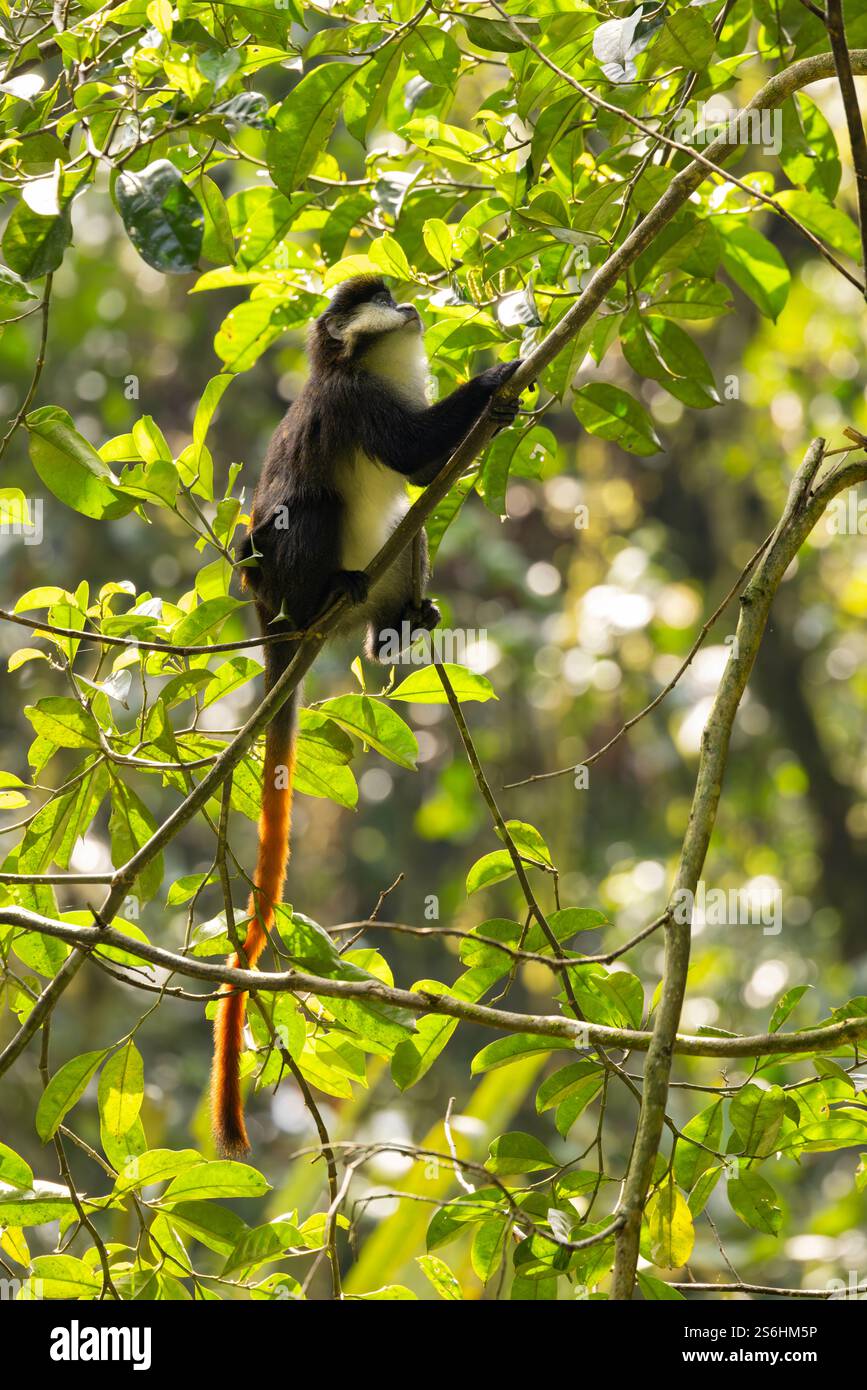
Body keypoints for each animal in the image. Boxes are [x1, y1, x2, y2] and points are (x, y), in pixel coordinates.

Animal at [211, 274, 523, 1155]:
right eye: (375, 297)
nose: (410, 301)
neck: (368, 366)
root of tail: (274, 620)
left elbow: (421, 482)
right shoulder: (351, 401)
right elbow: (413, 456)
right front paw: (494, 379)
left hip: (381, 575)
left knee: (403, 535)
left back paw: (396, 627)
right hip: (278, 568)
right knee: (303, 509)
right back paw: (328, 589)